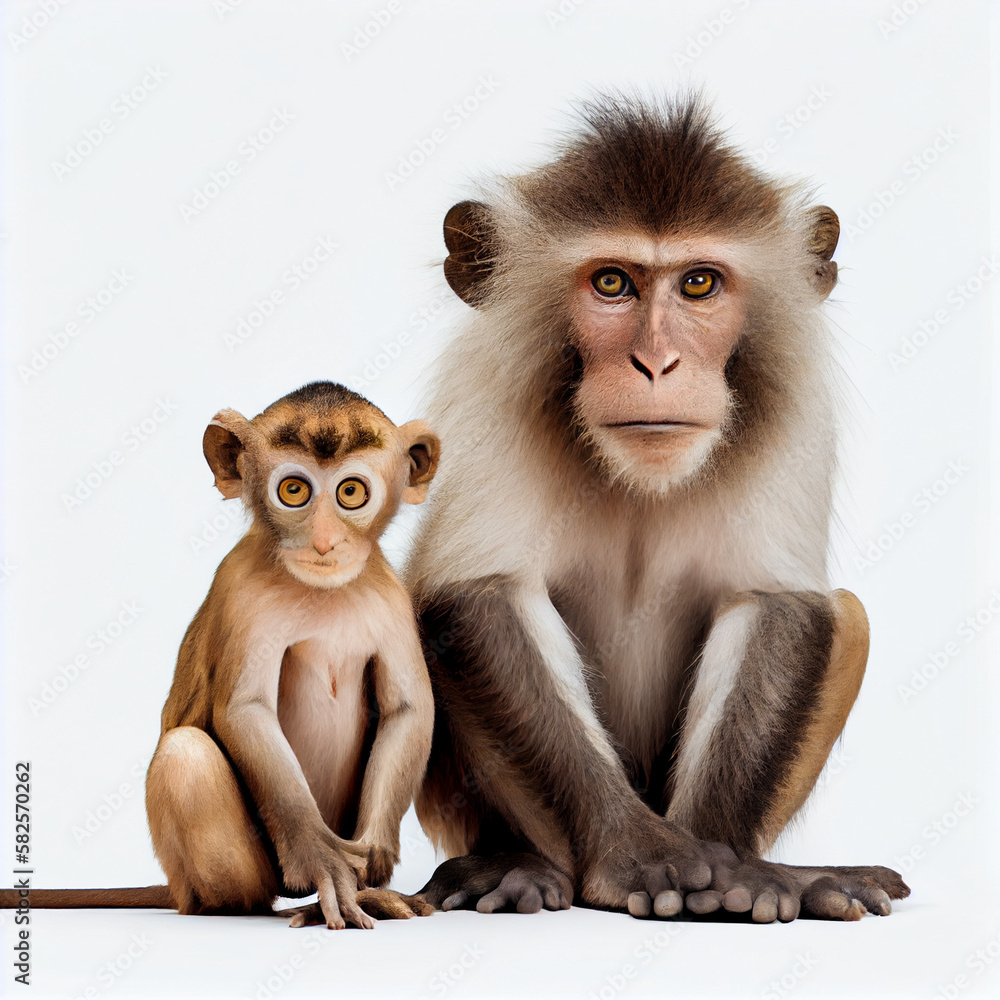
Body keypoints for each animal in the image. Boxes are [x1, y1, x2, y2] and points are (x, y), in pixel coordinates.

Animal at [1, 382, 439, 929]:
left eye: (351, 492)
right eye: (293, 491)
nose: (323, 542)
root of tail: (177, 889)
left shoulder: (392, 596)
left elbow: (408, 710)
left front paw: (375, 857)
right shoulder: (240, 587)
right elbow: (243, 710)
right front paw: (323, 861)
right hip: (232, 871)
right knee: (186, 758)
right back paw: (284, 902)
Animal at [408, 95, 910, 924]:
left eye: (700, 284)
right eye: (612, 282)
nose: (656, 363)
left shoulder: (796, 405)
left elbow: (773, 598)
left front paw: (732, 866)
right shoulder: (490, 388)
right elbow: (483, 592)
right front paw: (637, 852)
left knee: (851, 613)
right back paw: (510, 863)